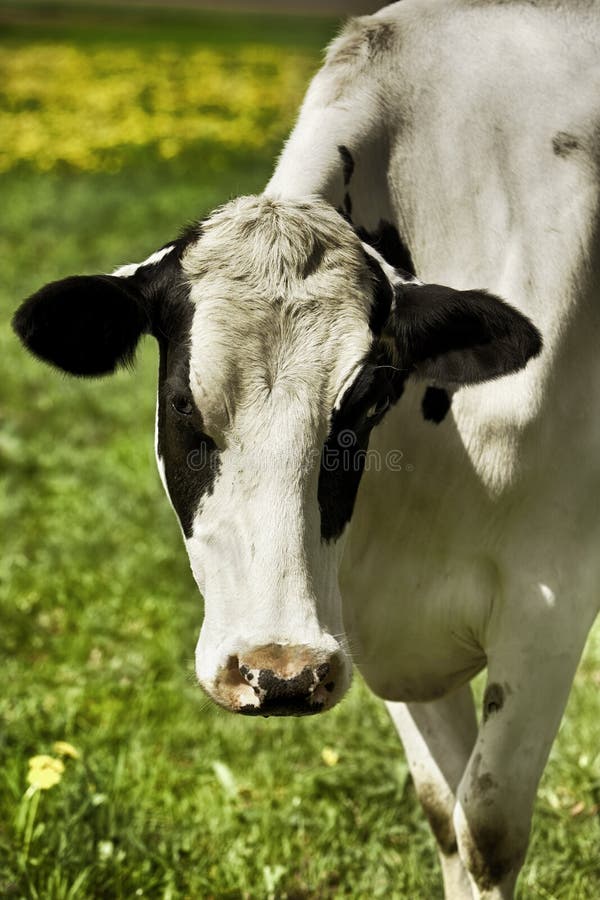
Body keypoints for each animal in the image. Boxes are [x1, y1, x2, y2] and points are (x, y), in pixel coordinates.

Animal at [12, 0, 600, 897]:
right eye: (183, 403)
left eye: (362, 400)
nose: (279, 671)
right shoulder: (364, 615)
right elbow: (446, 816)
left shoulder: (550, 601)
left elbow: (488, 828)